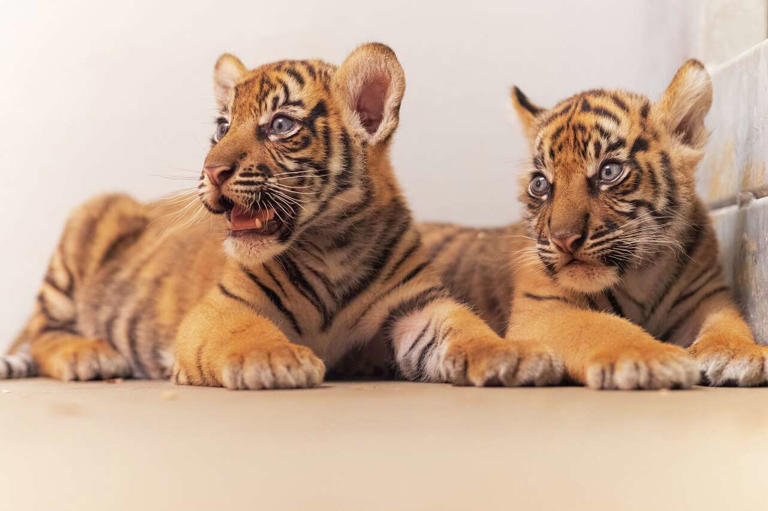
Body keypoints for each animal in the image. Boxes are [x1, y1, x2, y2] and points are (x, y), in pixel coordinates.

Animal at [2, 42, 564, 389]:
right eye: (222, 127)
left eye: (279, 125)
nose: (212, 171)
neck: (334, 244)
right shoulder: (220, 307)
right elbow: (246, 333)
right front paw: (276, 359)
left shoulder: (417, 307)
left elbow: (468, 331)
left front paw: (517, 355)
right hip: (90, 219)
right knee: (38, 332)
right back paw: (89, 355)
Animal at [421, 59, 767, 390]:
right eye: (540, 184)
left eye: (609, 171)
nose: (564, 239)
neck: (640, 275)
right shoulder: (544, 310)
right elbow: (605, 326)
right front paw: (651, 358)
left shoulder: (707, 297)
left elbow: (730, 323)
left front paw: (741, 354)